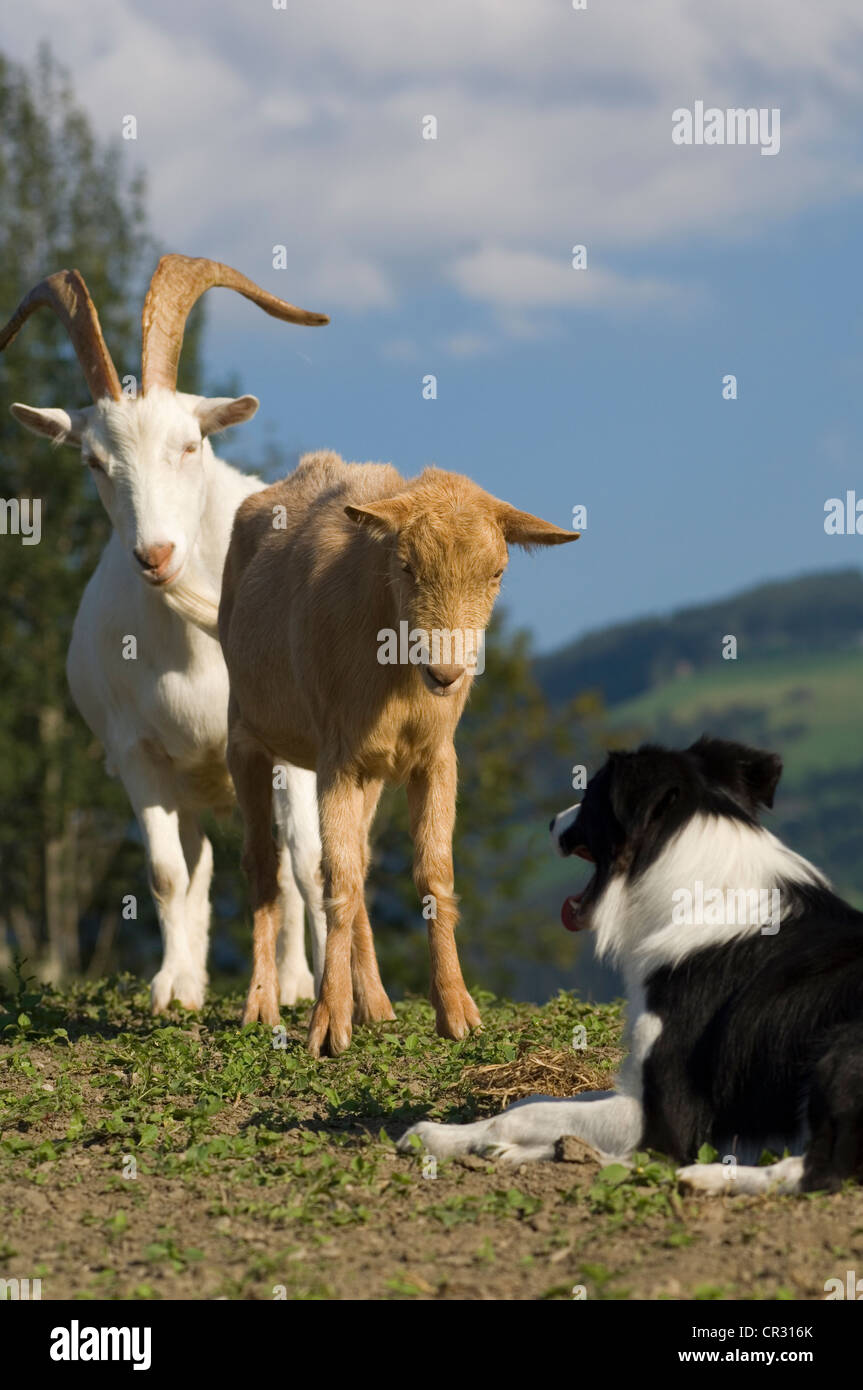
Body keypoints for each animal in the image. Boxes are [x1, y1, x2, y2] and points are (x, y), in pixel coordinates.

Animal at [1, 256, 330, 1011]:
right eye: (93, 462)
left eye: (190, 443)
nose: (155, 555)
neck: (194, 650)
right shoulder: (137, 754)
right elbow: (167, 873)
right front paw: (171, 990)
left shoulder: (287, 748)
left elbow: (306, 865)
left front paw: (326, 987)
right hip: (194, 784)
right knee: (202, 866)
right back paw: (192, 977)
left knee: (289, 866)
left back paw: (297, 981)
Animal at [219, 449, 579, 1054]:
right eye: (407, 567)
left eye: (497, 573)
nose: (446, 673)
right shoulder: (336, 758)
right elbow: (335, 877)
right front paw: (326, 1024)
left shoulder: (433, 758)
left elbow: (430, 873)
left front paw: (457, 1012)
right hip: (244, 733)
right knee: (263, 862)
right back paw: (261, 1005)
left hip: (371, 773)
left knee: (359, 858)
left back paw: (376, 1006)